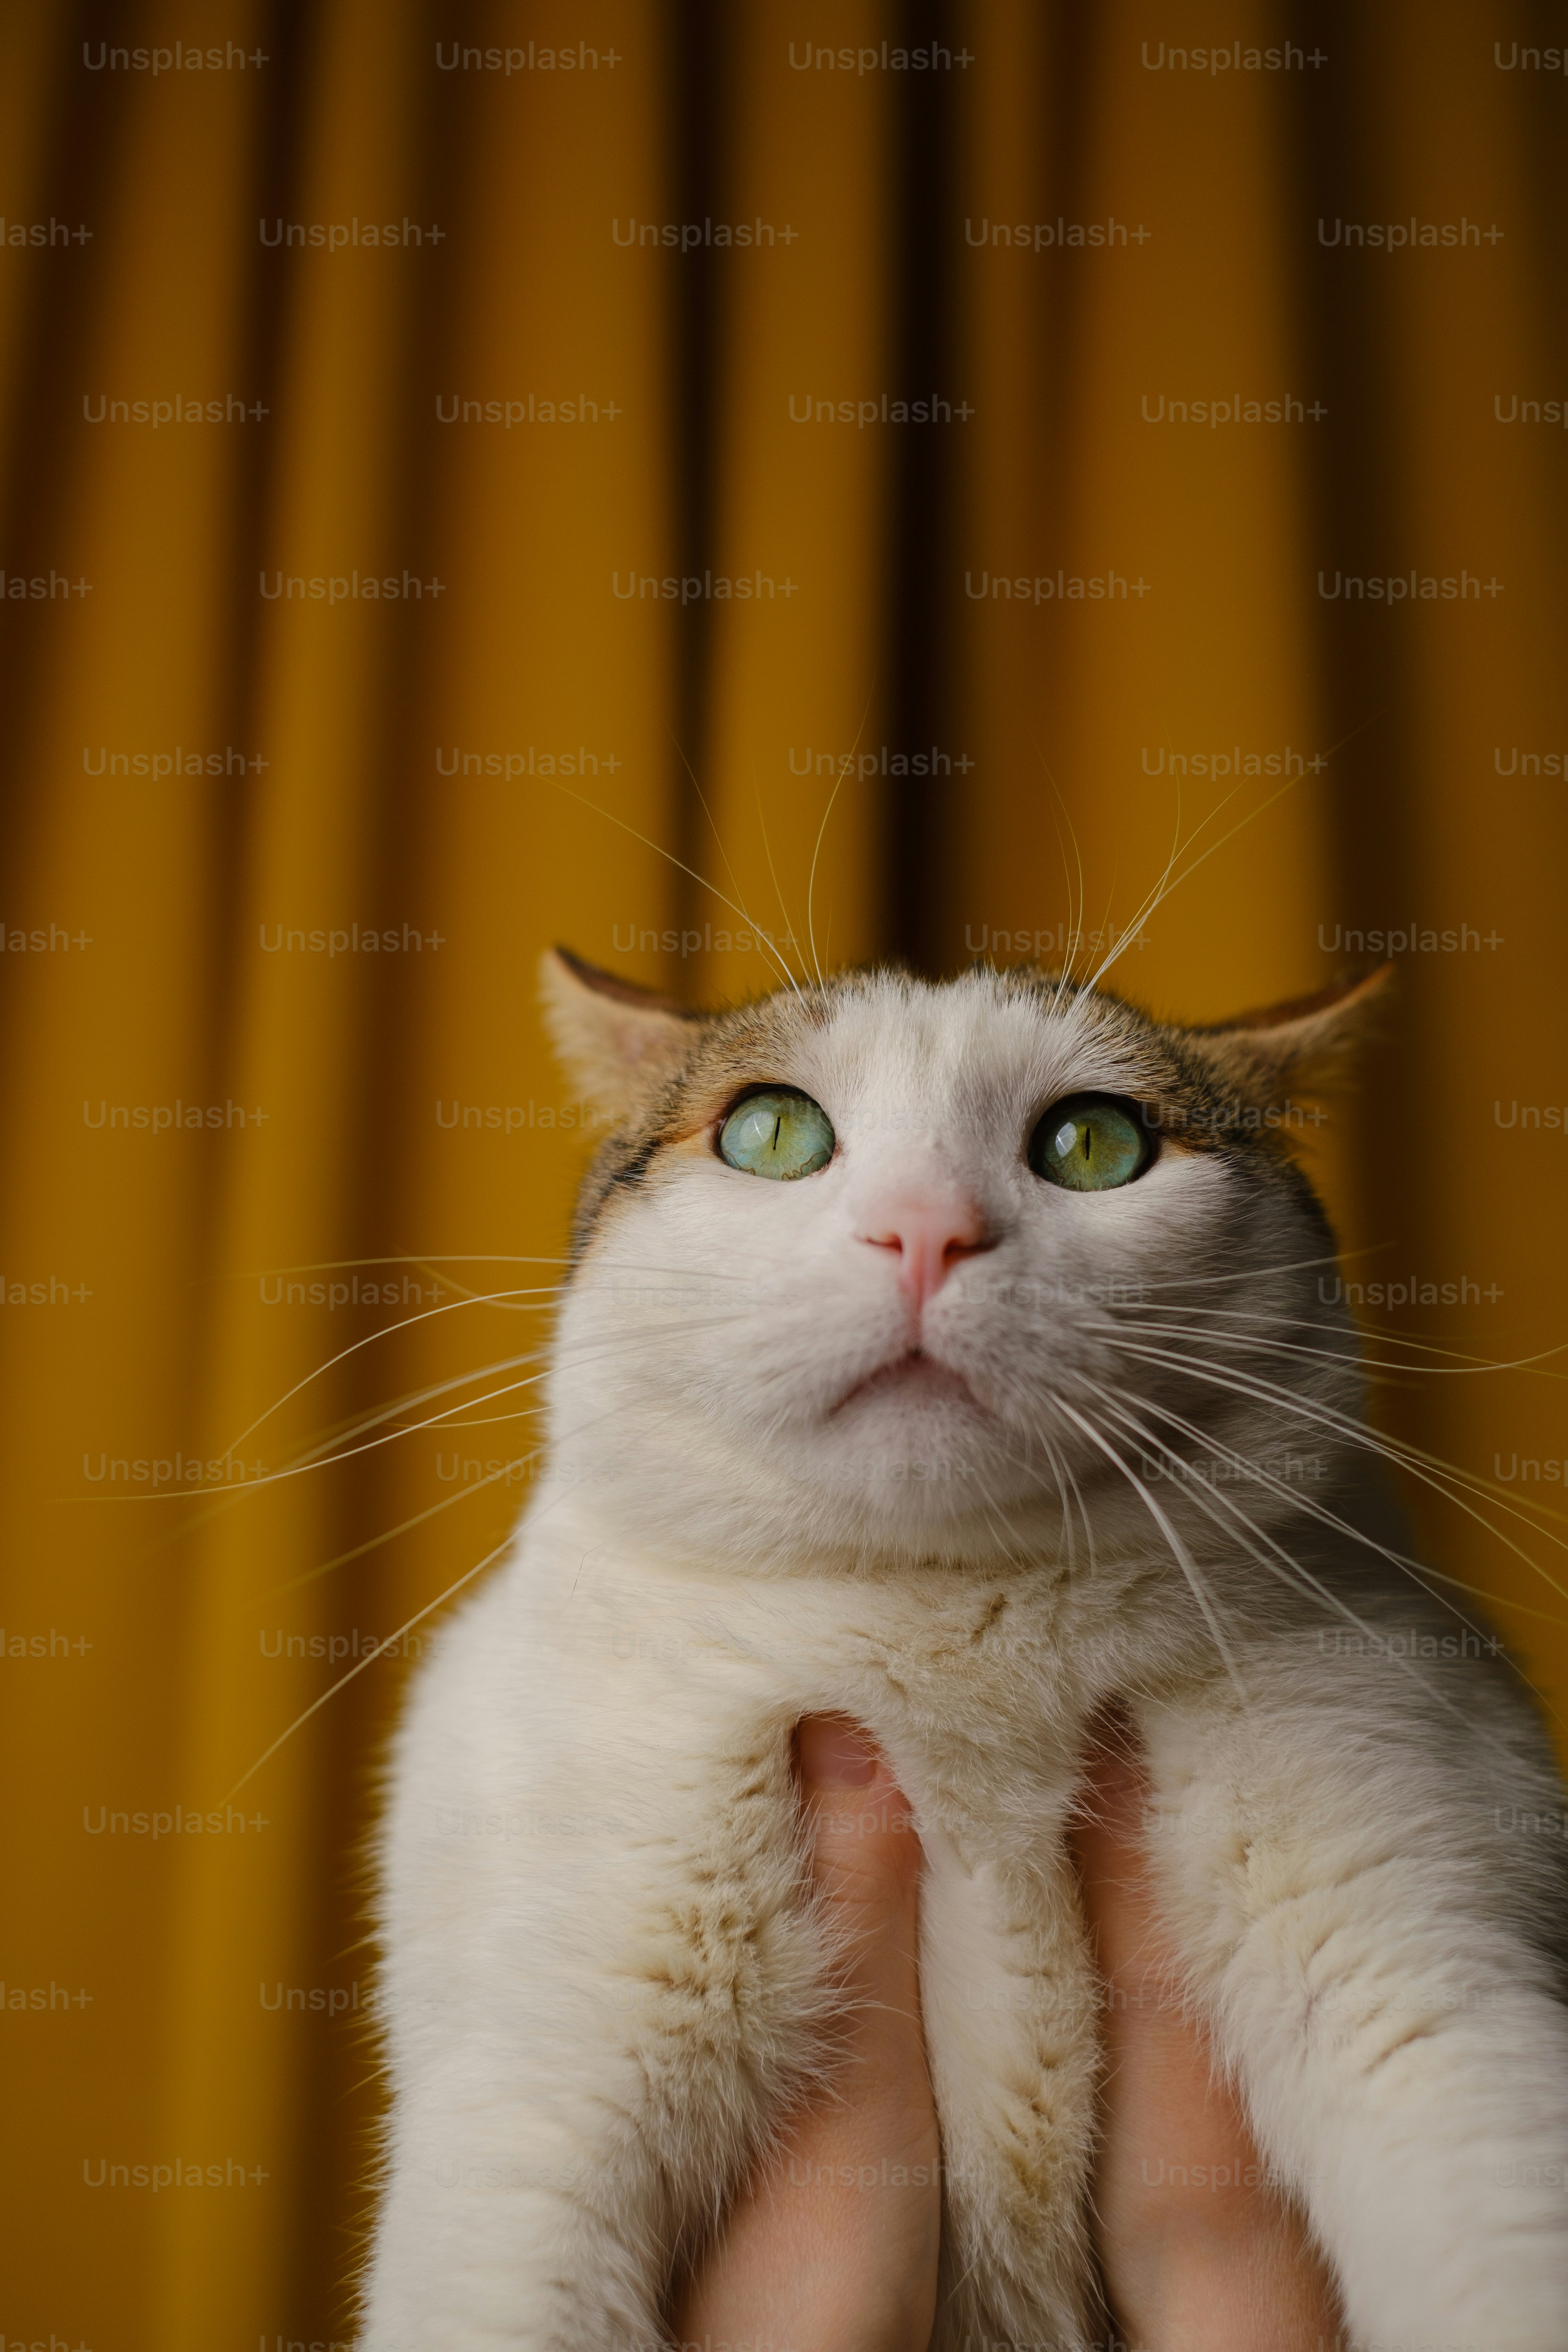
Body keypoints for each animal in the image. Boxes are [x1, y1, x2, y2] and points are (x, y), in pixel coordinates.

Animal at [362, 950, 1568, 2352]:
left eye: (1094, 1142)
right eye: (770, 1131)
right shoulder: (544, 2085)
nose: (925, 1230)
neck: (953, 1645)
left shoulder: (1429, 1990)